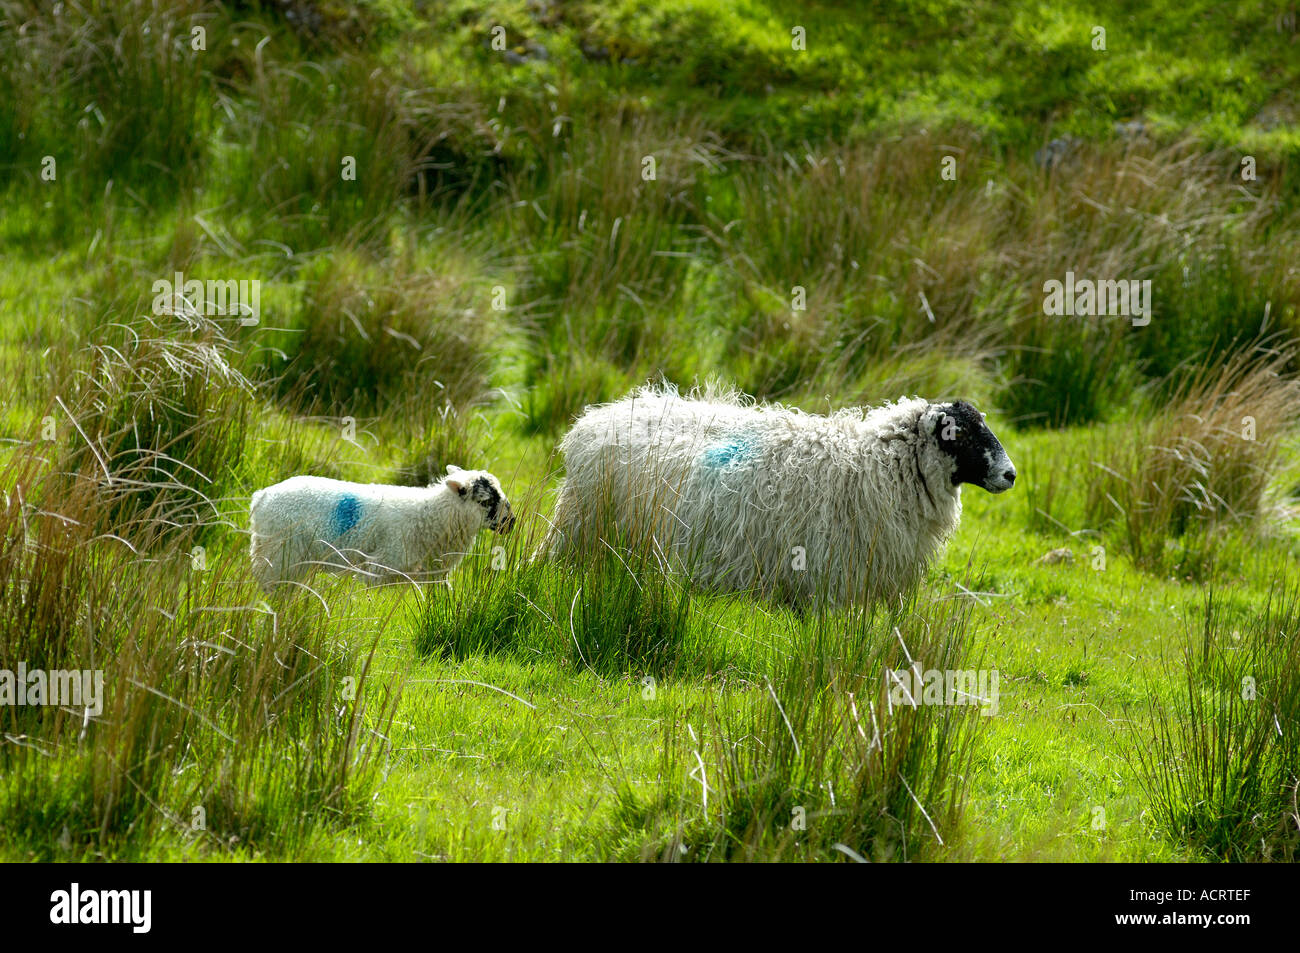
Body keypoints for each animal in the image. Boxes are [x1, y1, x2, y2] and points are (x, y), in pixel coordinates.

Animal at [249, 465, 514, 592]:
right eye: (485, 501)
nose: (511, 522)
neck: (431, 515)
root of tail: (262, 496)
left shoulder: (434, 572)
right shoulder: (382, 566)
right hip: (280, 551)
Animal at [542, 383, 1015, 605]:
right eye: (961, 433)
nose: (1010, 474)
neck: (880, 464)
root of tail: (592, 421)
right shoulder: (833, 581)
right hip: (580, 530)